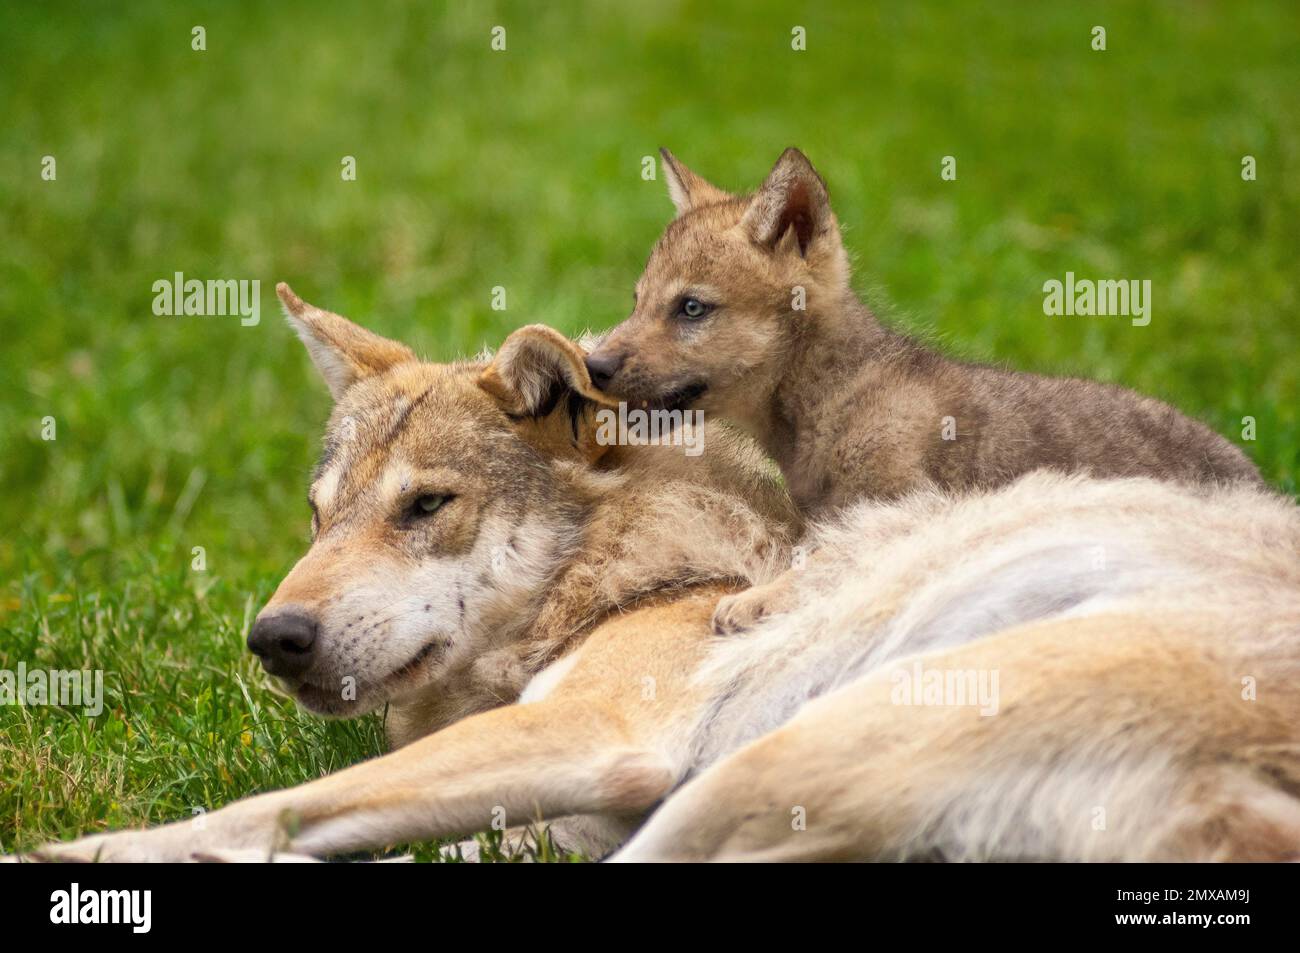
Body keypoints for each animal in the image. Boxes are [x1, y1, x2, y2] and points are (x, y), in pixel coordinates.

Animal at [15, 287, 1298, 862]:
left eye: (425, 506)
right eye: (318, 515)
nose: (272, 636)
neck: (624, 578)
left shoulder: (589, 738)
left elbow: (259, 809)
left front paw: (75, 856)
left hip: (770, 766)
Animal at [582, 149, 1263, 630]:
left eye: (691, 308)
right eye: (638, 301)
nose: (593, 364)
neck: (835, 402)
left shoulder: (906, 512)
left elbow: (830, 564)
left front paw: (758, 600)